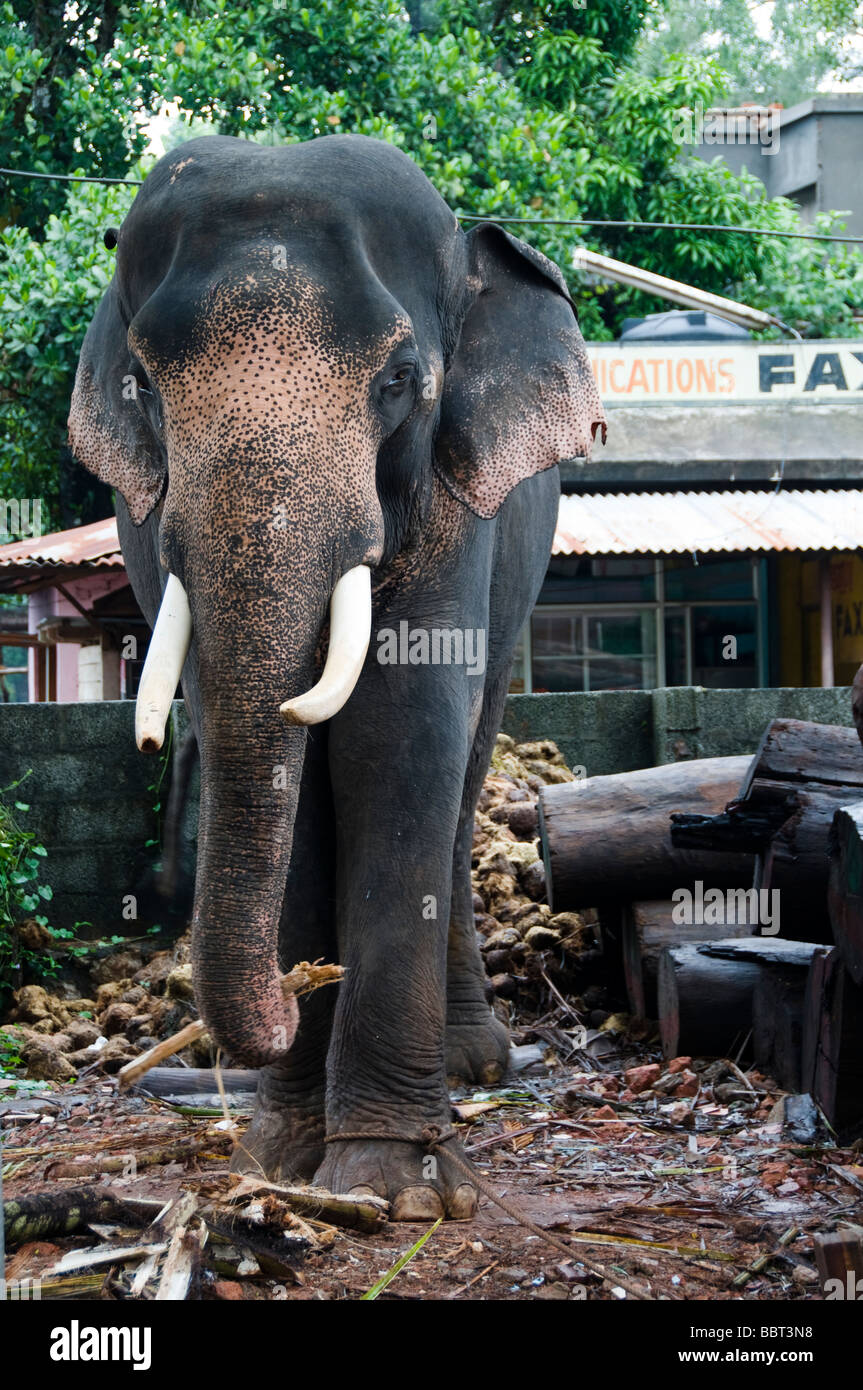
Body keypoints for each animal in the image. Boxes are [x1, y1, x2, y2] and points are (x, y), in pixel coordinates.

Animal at [68, 134, 605, 1219]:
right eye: (142, 385)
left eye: (399, 379)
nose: (296, 983)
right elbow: (287, 779)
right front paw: (282, 1157)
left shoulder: (453, 508)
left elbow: (400, 743)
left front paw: (393, 1187)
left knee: (463, 778)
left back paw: (477, 1064)